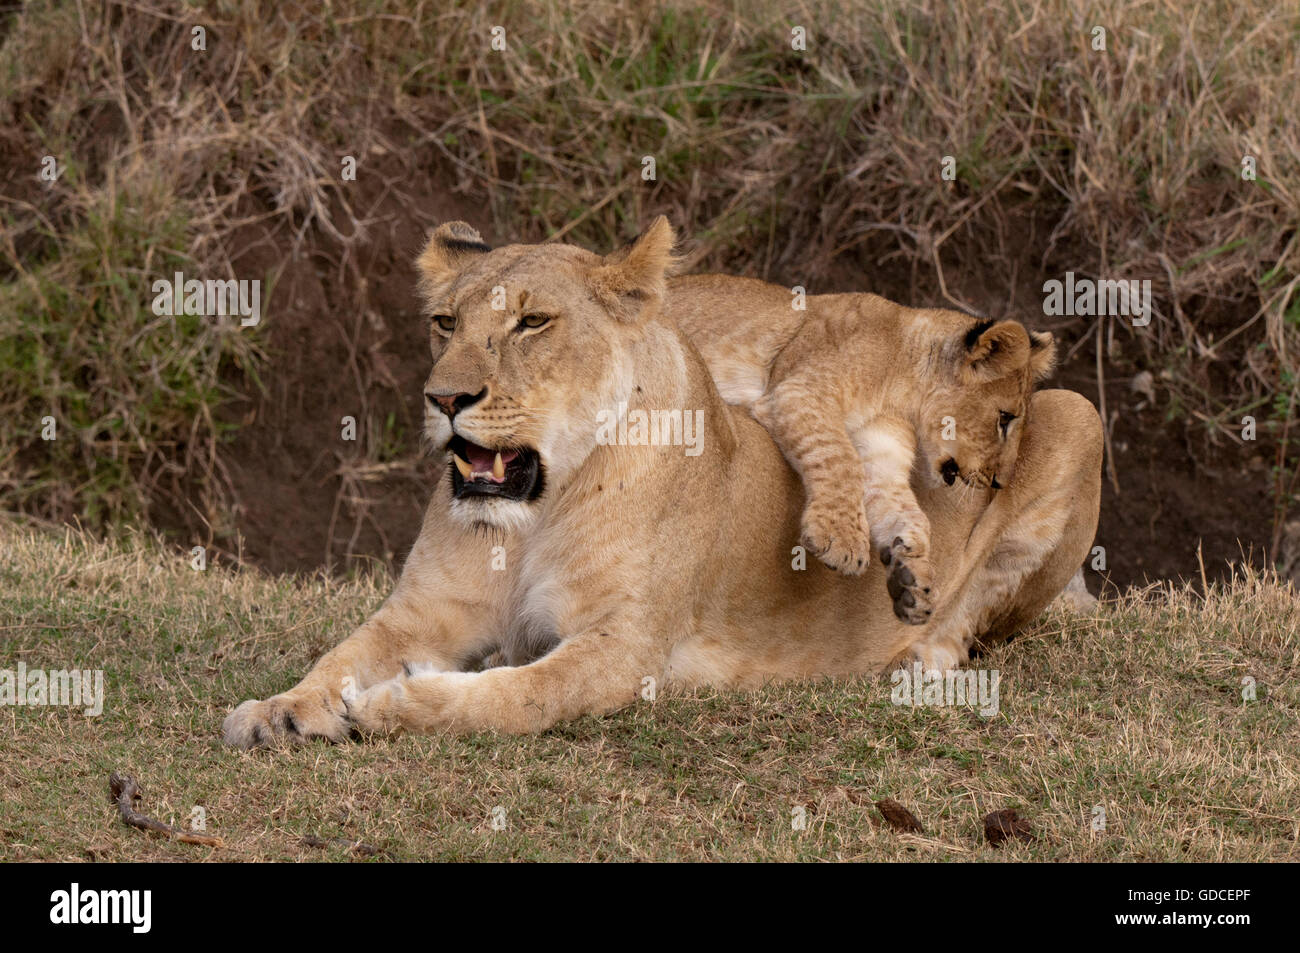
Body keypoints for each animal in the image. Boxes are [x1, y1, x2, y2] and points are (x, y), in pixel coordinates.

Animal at [668, 276, 1057, 624]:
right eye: (1005, 418)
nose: (1001, 482)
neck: (902, 394)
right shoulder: (796, 392)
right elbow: (840, 458)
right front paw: (842, 541)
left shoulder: (883, 447)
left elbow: (908, 512)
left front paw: (915, 578)